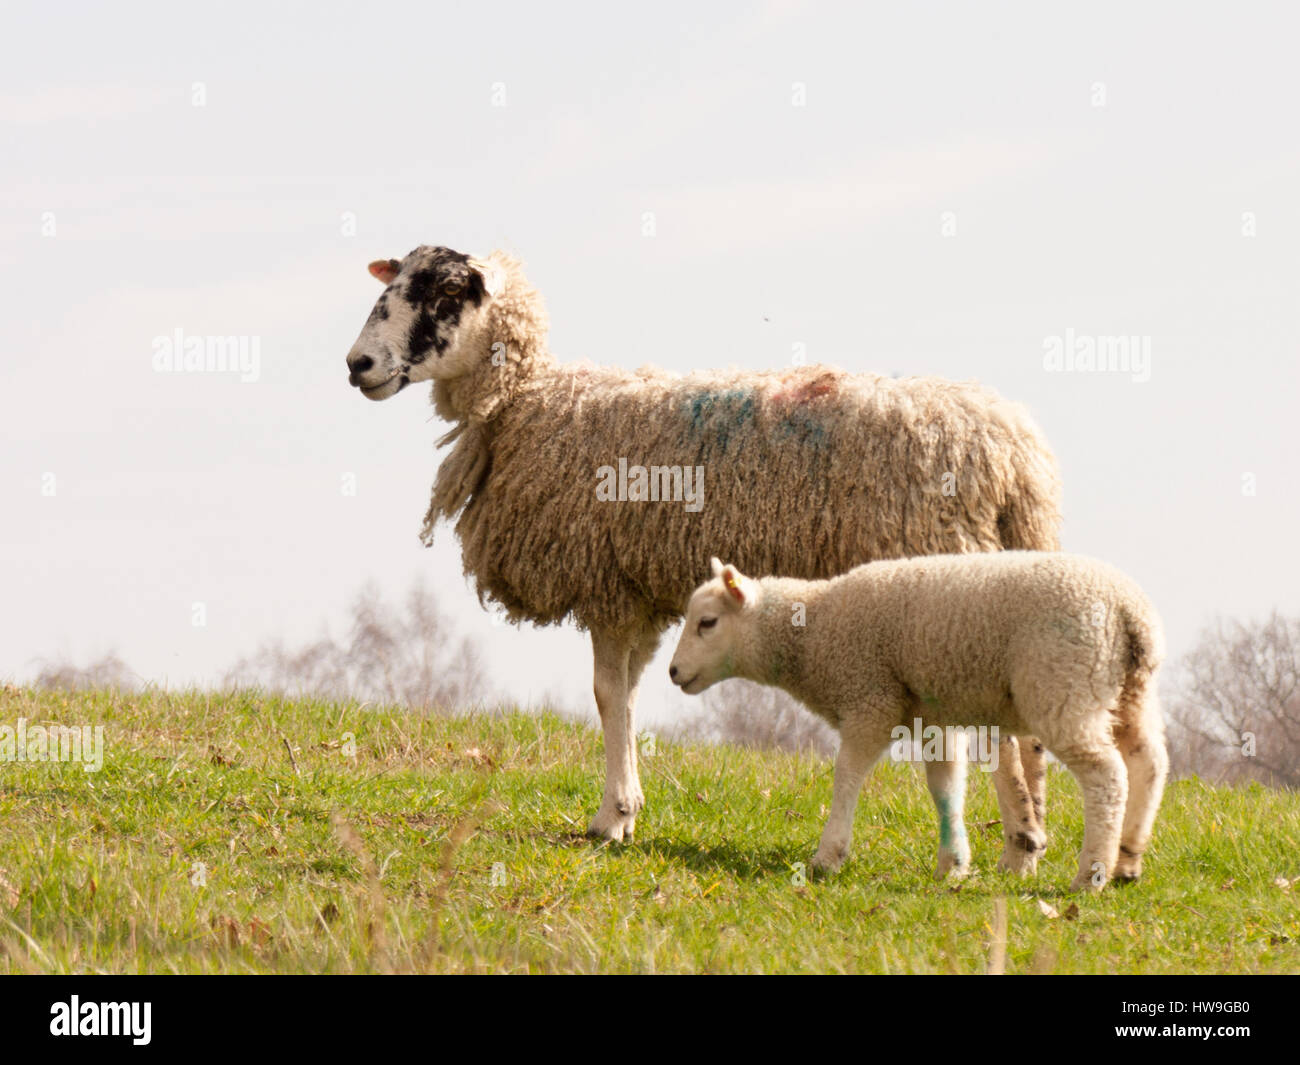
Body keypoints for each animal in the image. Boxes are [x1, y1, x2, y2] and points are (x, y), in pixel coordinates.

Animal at [343, 245, 1063, 864]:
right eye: (395, 281)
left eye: (443, 291)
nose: (357, 364)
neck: (528, 400)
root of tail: (1014, 456)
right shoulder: (639, 594)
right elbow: (630, 693)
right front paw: (628, 808)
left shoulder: (605, 582)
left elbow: (608, 695)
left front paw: (610, 818)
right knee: (1021, 724)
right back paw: (1023, 849)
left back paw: (1007, 846)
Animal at [668, 554, 1169, 890]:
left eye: (707, 622)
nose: (673, 672)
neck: (812, 631)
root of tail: (1129, 613)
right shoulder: (935, 718)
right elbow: (944, 785)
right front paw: (954, 864)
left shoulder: (870, 699)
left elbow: (846, 776)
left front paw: (828, 856)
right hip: (1127, 690)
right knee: (1150, 762)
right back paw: (1128, 862)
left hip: (1064, 686)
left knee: (1107, 776)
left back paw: (1092, 875)